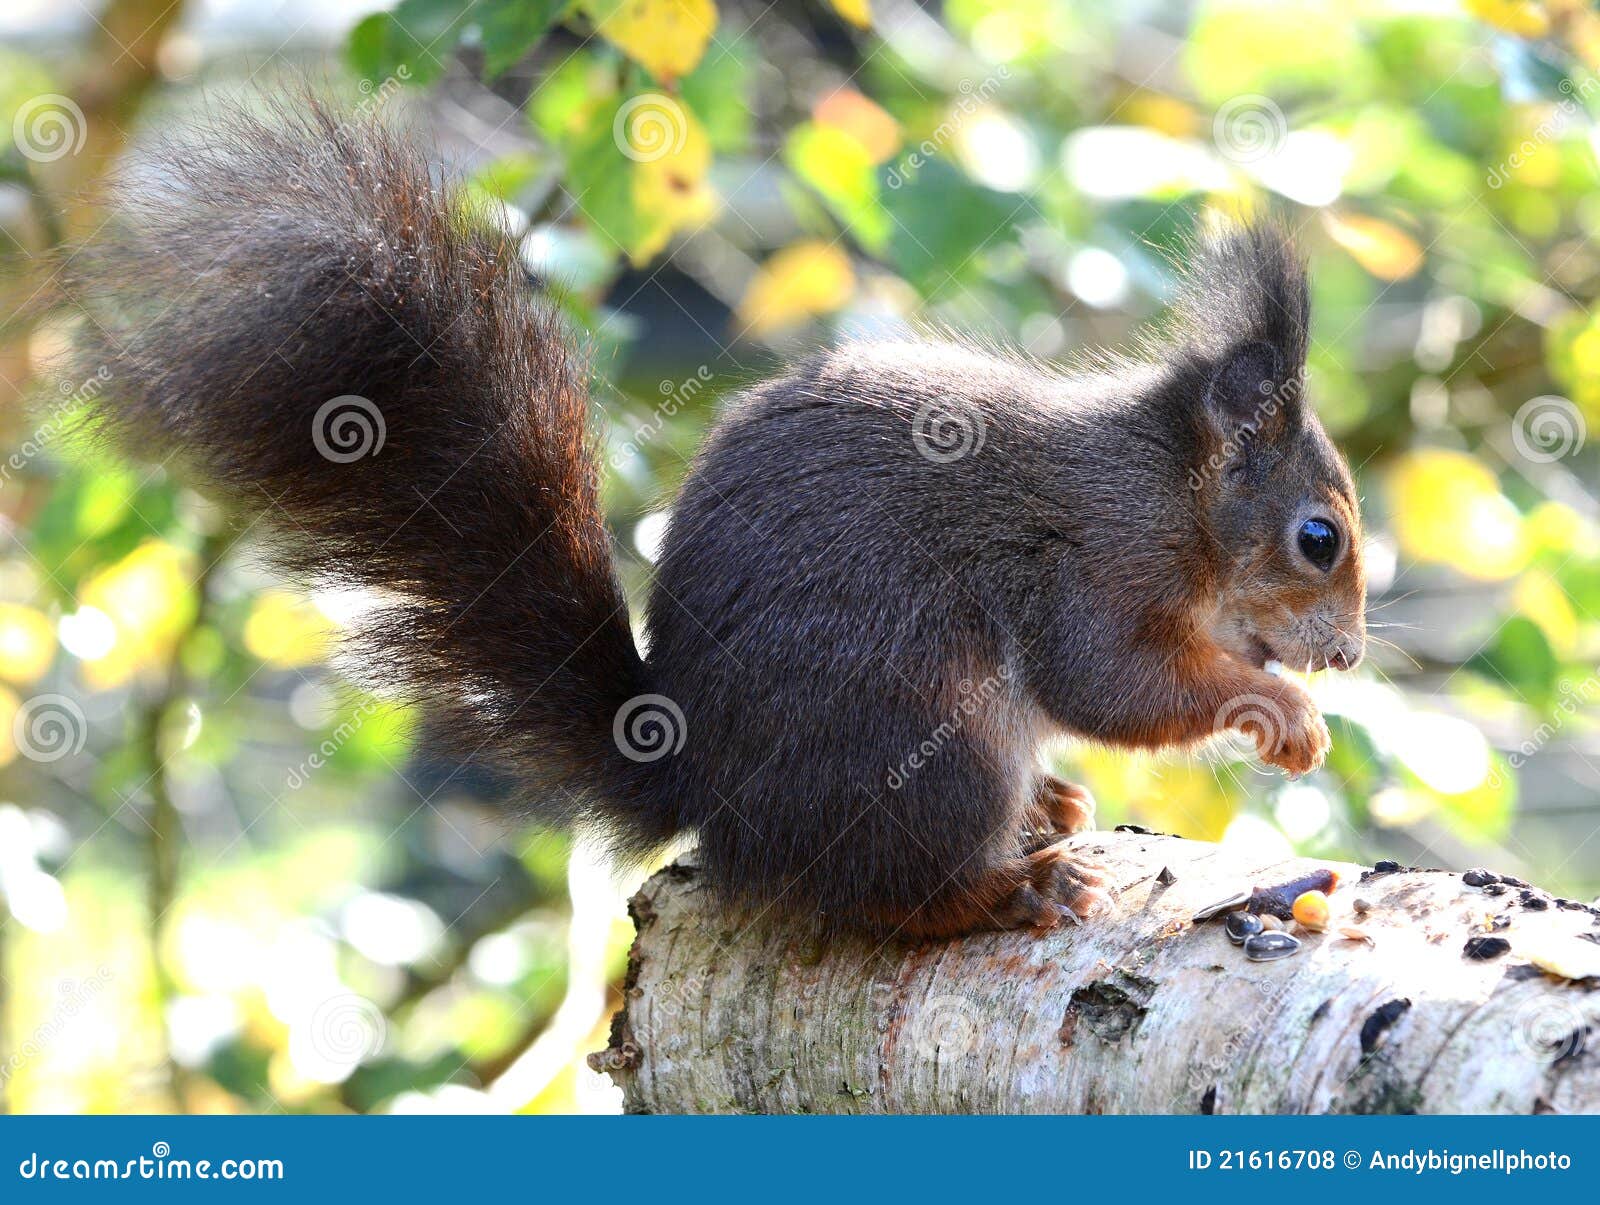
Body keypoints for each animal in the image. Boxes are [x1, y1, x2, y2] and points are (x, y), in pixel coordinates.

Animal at [67, 99, 1366, 941]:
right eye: (1319, 537)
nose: (1350, 655)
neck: (1173, 493)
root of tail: (712, 797)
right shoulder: (1088, 562)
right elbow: (1114, 686)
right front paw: (1280, 713)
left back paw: (1043, 808)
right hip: (924, 738)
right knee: (890, 900)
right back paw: (1014, 887)